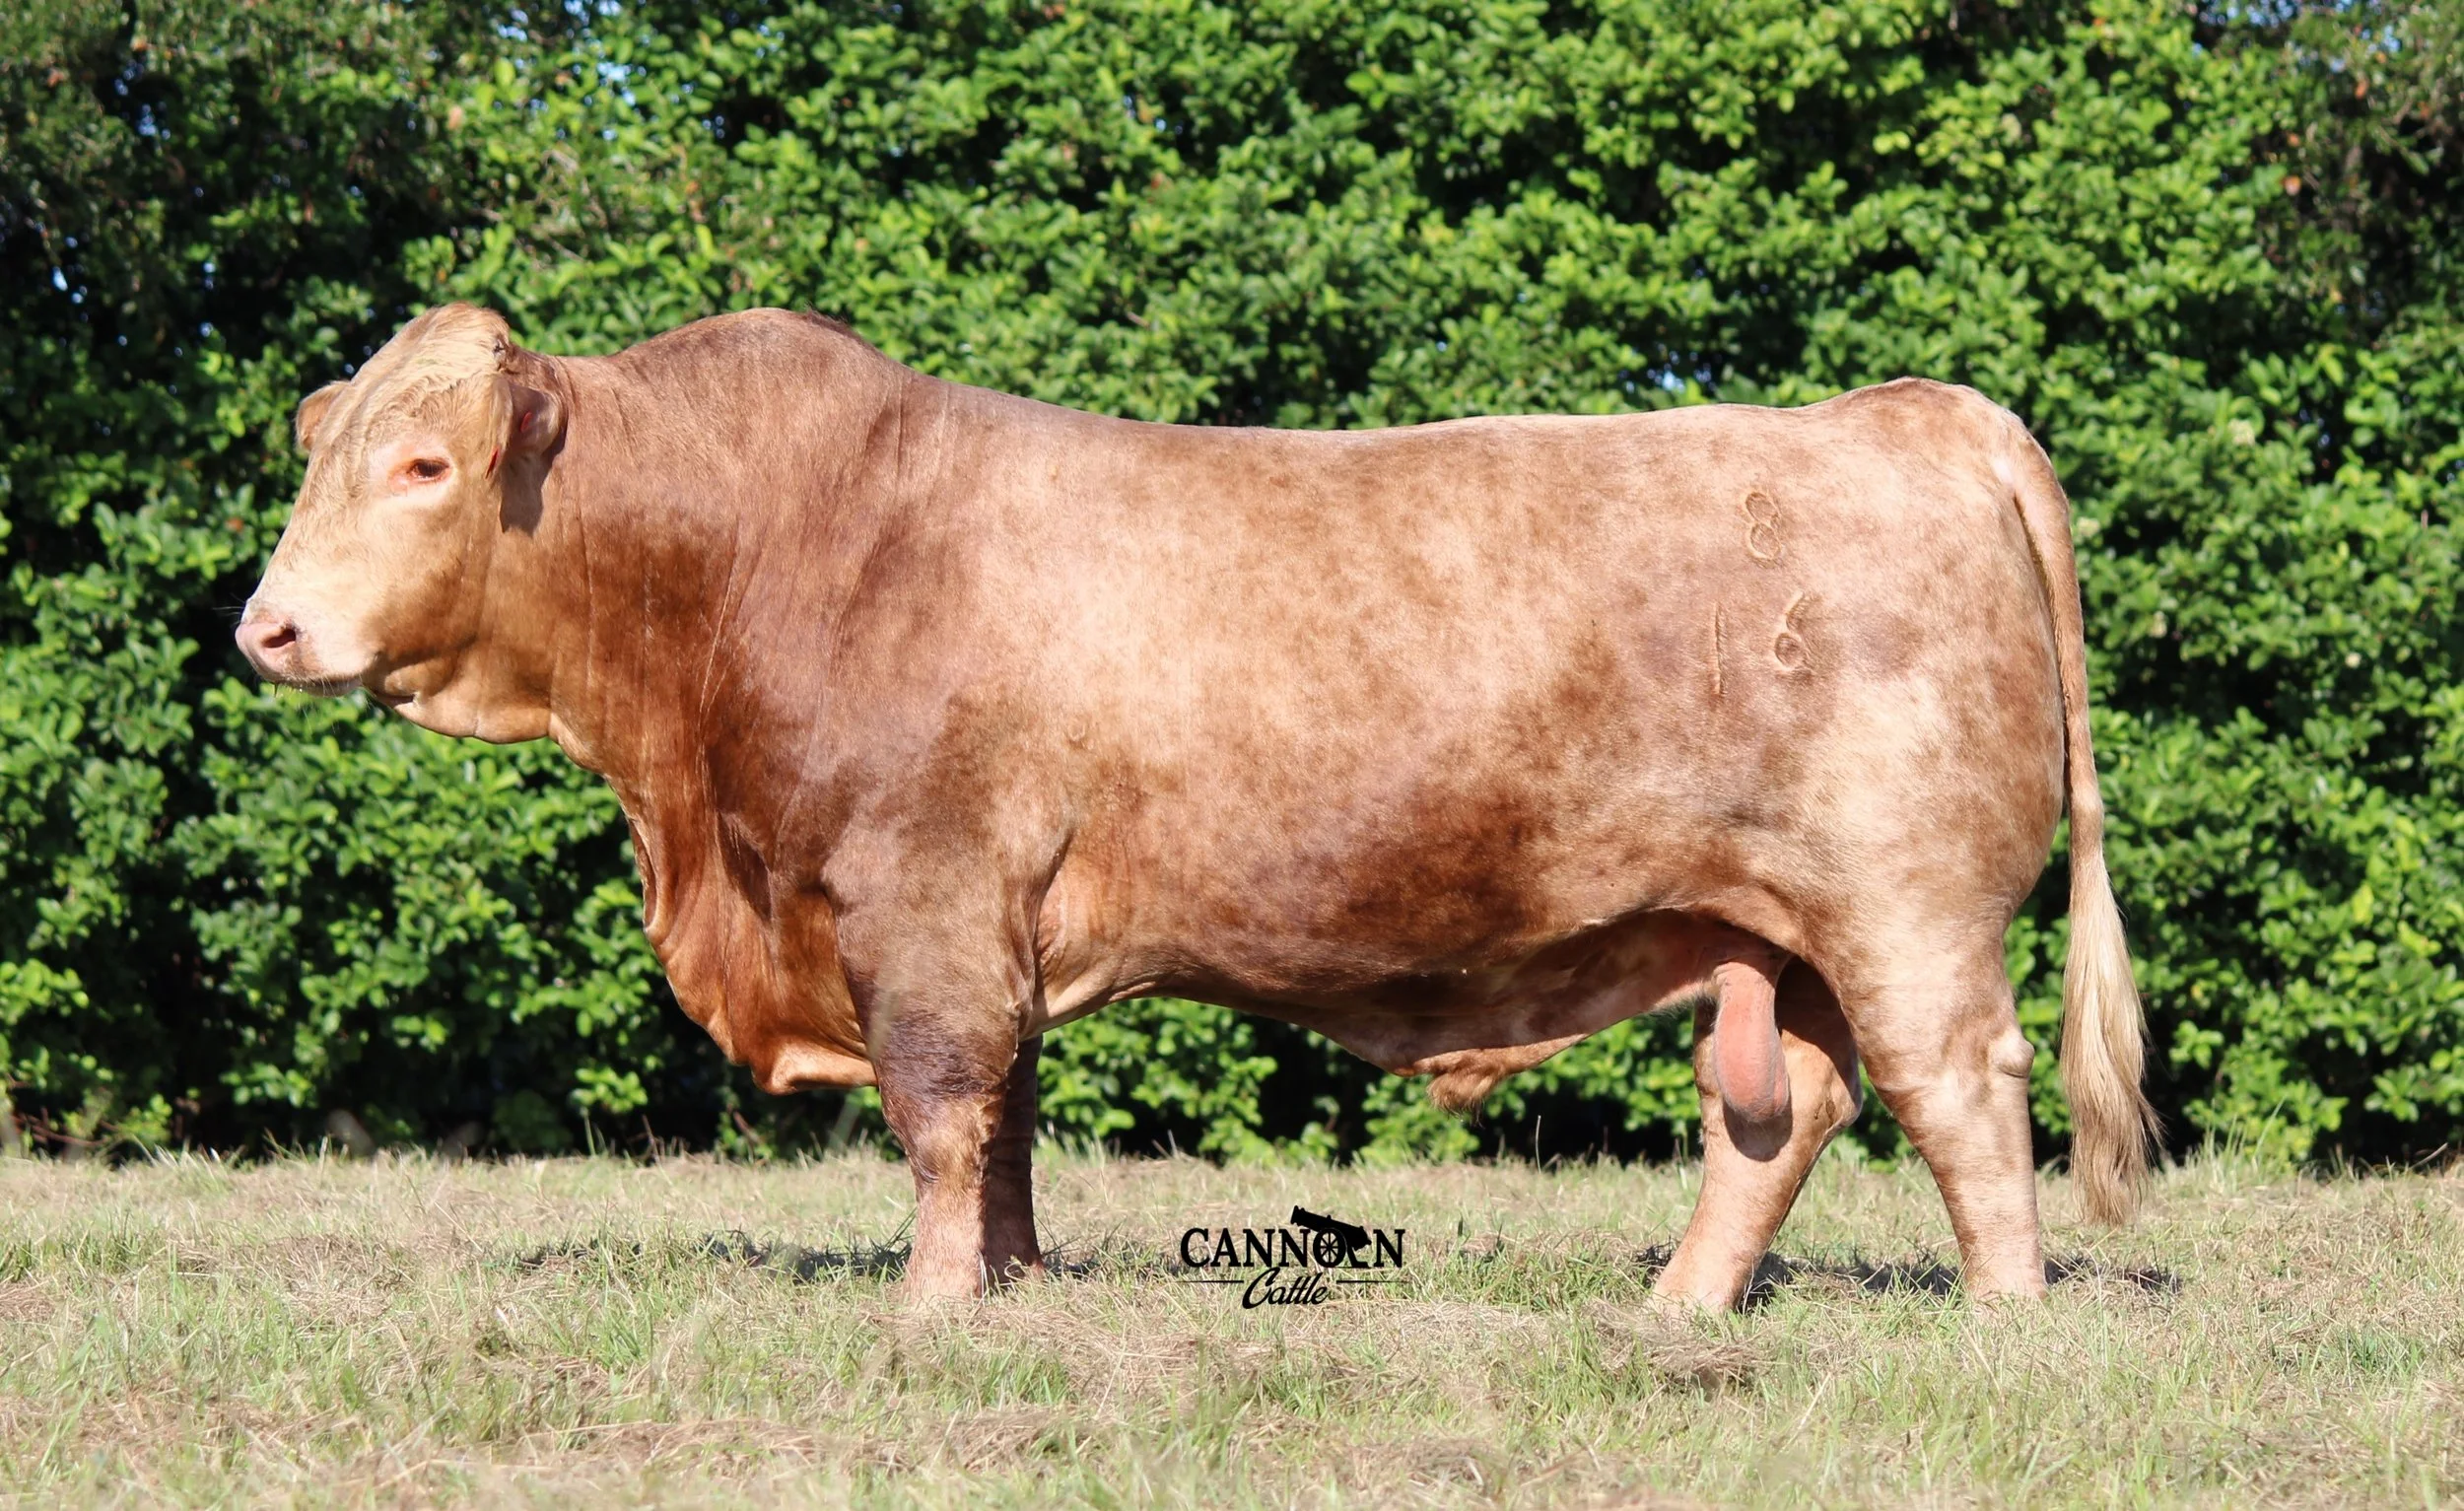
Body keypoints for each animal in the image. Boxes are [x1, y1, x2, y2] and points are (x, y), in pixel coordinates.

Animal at [236, 303, 2155, 1306]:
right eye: (316, 455)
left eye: (423, 463)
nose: (268, 625)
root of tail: (1910, 409)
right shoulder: (980, 922)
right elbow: (1005, 1119)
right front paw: (1007, 1283)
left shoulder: (925, 901)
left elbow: (941, 1106)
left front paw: (931, 1306)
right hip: (1785, 929)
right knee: (1783, 1113)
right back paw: (1682, 1308)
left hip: (1906, 902)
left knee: (1961, 1094)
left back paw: (2001, 1312)